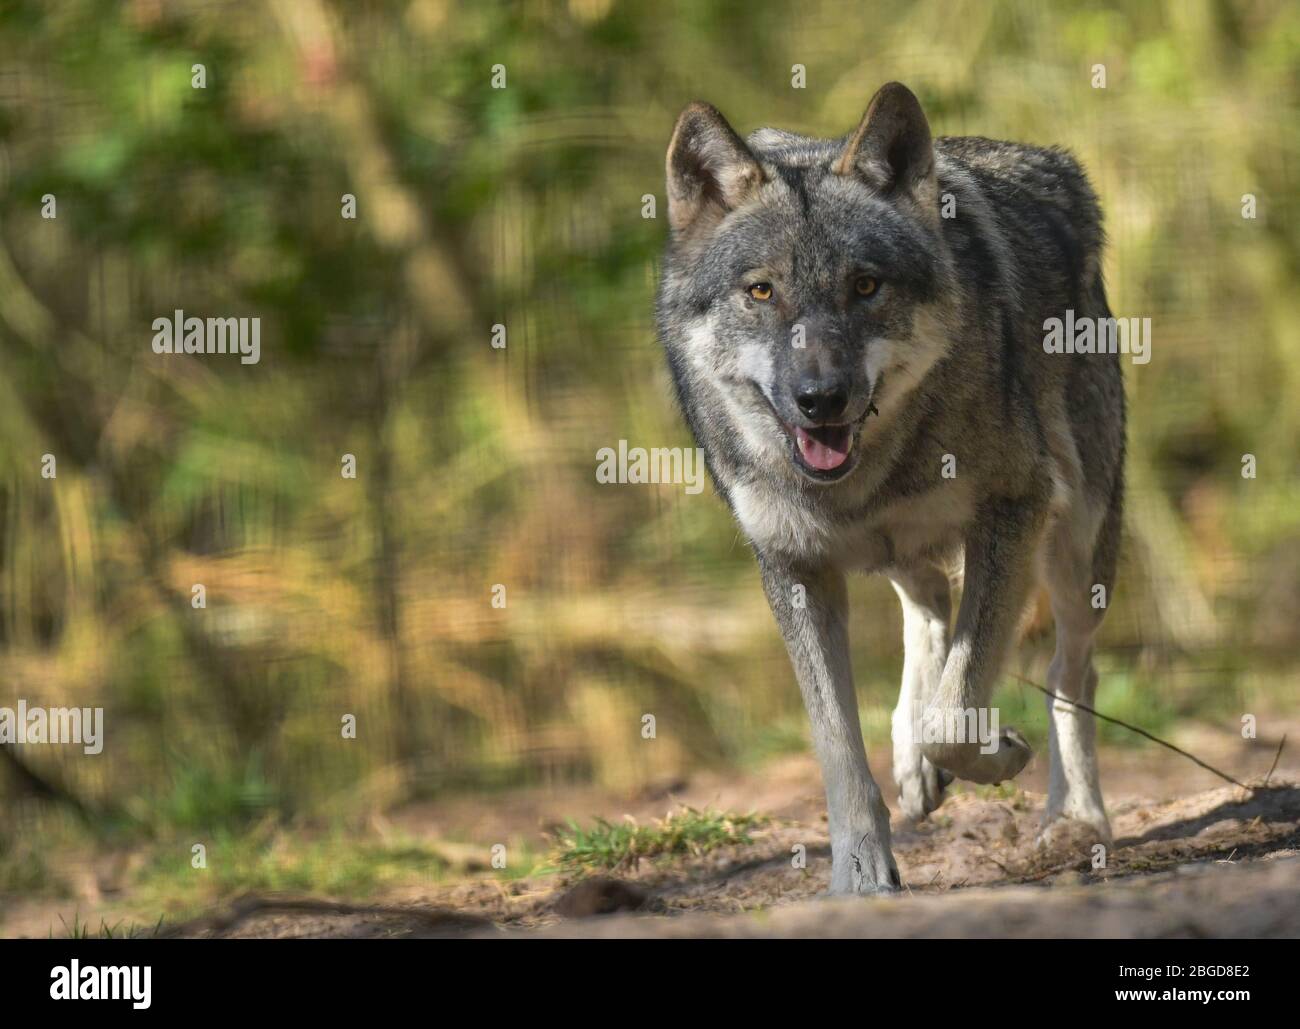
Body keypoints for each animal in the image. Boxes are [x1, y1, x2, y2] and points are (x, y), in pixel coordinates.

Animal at [655, 83, 1125, 895]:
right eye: (761, 291)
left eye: (865, 286)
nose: (821, 399)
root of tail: (1057, 166)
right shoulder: (792, 567)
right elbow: (839, 743)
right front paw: (861, 871)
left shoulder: (1014, 509)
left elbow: (956, 710)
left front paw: (996, 752)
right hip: (913, 545)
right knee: (929, 603)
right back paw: (915, 765)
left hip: (1075, 545)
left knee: (1071, 668)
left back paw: (1076, 820)